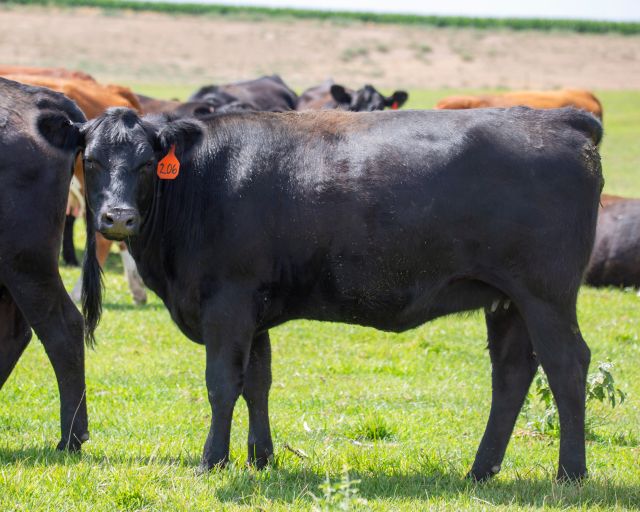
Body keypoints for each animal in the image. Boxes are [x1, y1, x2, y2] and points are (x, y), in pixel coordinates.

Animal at [68, 106, 602, 481]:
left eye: (146, 164)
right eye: (91, 161)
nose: (119, 217)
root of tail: (562, 119)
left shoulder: (228, 303)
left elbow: (222, 383)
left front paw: (212, 461)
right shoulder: (255, 309)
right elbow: (257, 382)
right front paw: (261, 458)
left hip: (545, 296)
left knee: (566, 367)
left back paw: (570, 473)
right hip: (507, 300)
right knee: (511, 375)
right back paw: (480, 471)